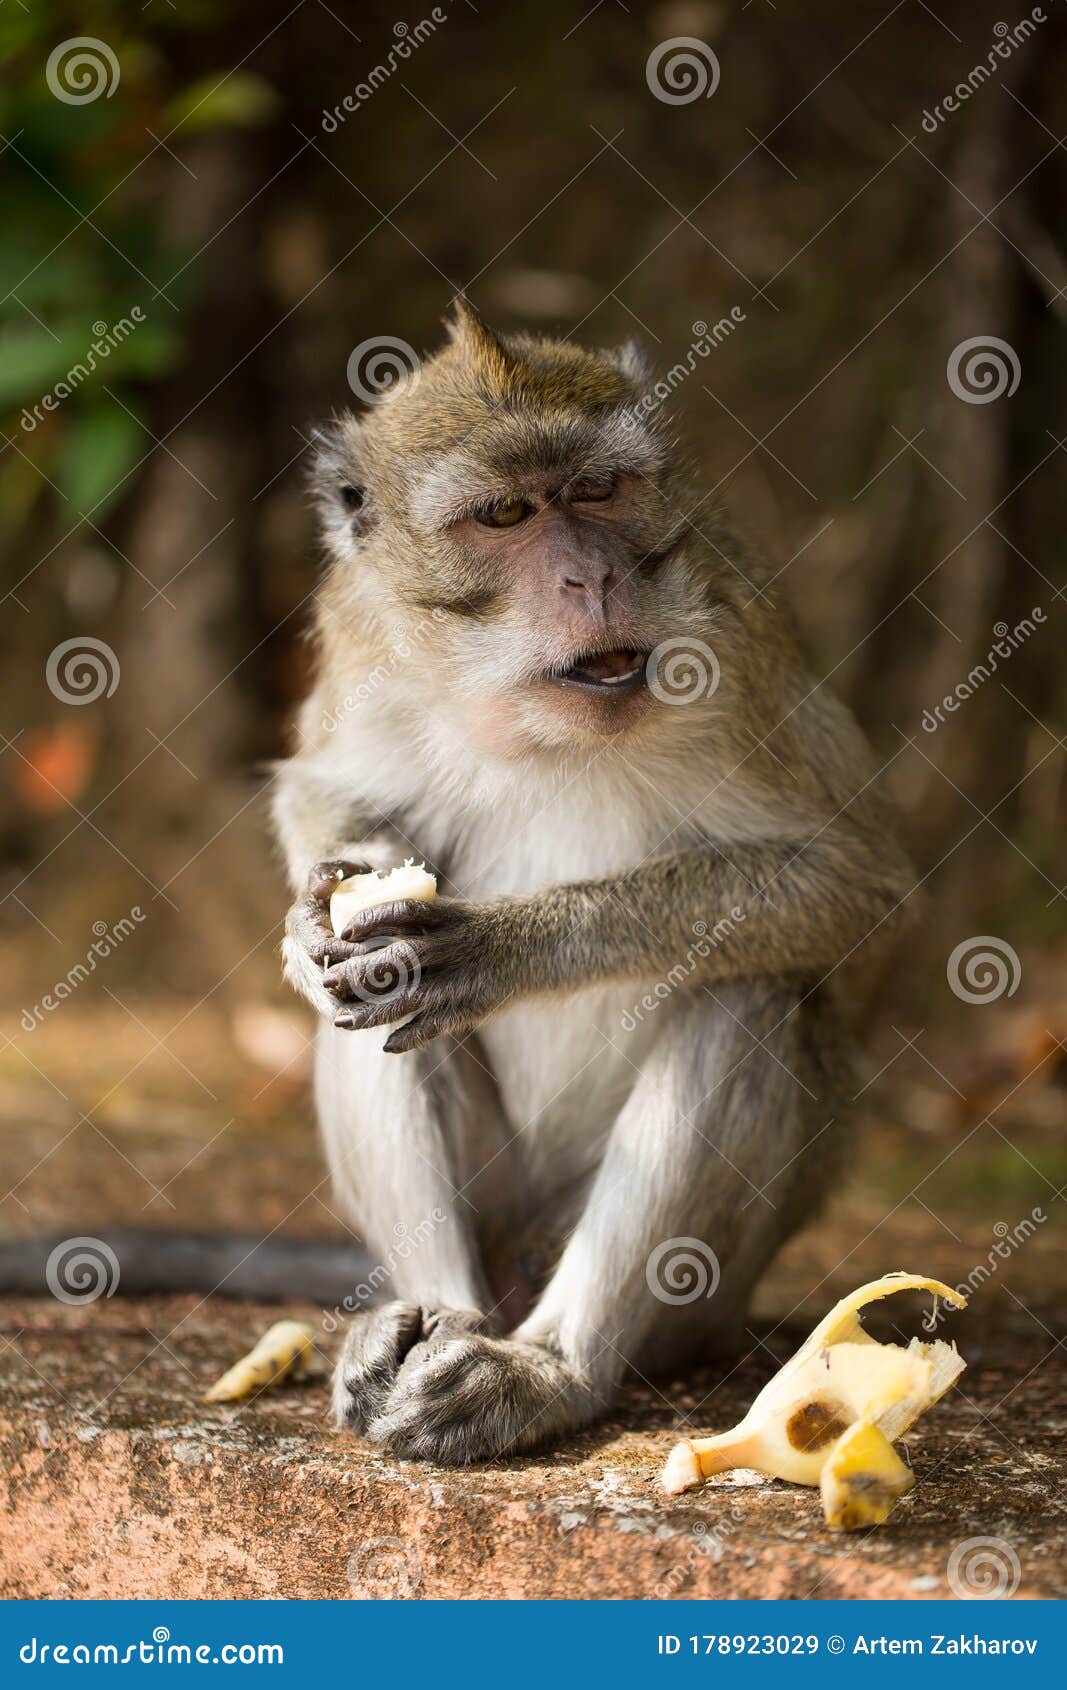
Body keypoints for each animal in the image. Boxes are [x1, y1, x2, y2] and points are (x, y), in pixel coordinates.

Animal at [270, 300, 915, 1467]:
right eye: (506, 513)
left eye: (599, 491)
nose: (592, 579)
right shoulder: (361, 628)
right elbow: (323, 797)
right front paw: (311, 927)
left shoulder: (733, 637)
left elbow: (853, 883)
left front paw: (508, 946)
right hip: (501, 1213)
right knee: (361, 1022)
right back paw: (432, 1322)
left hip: (712, 1284)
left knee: (743, 998)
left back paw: (550, 1368)